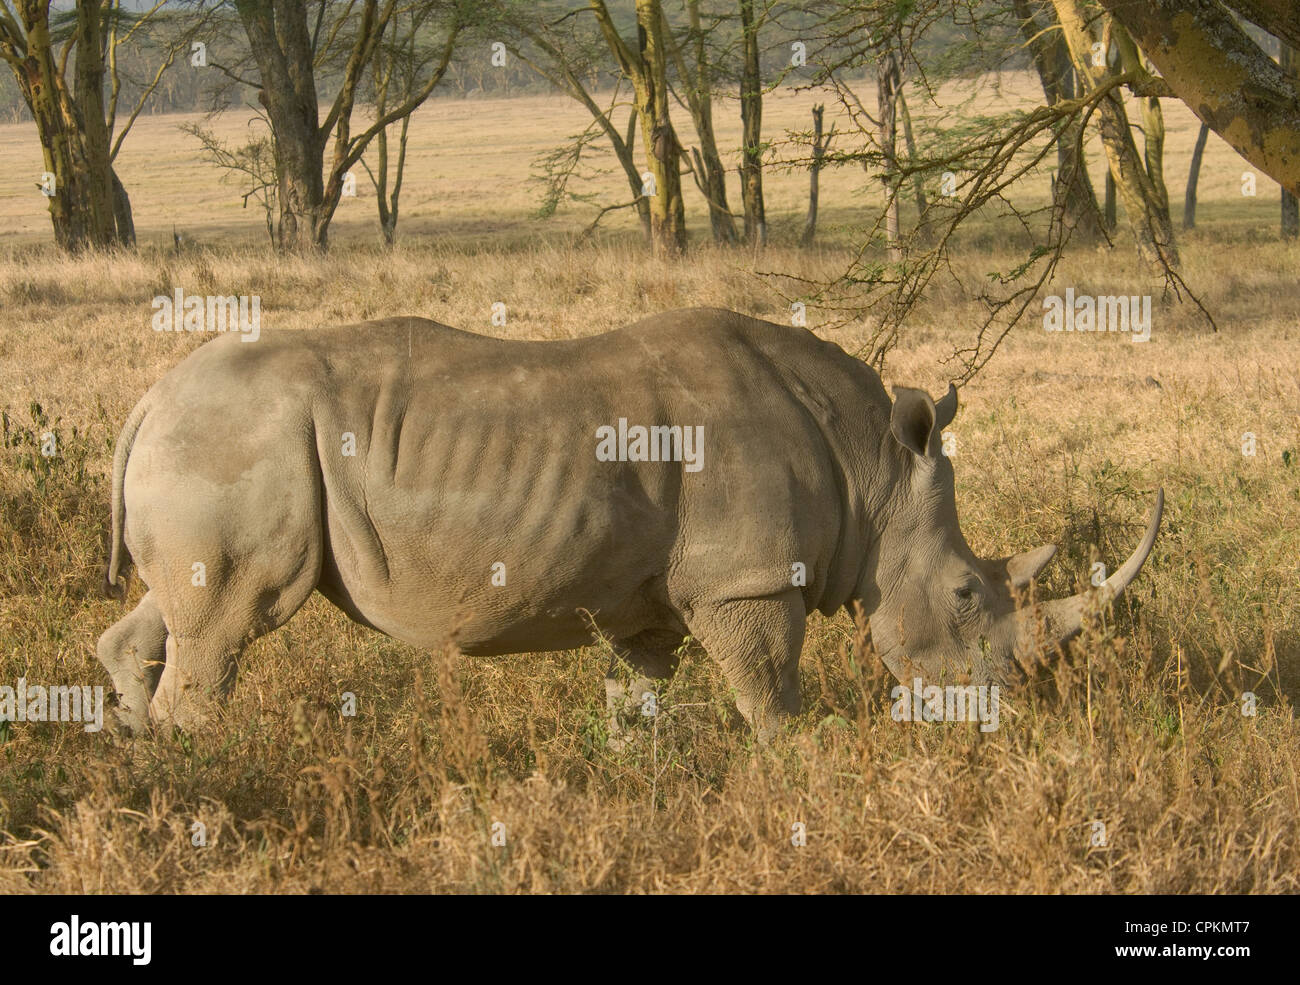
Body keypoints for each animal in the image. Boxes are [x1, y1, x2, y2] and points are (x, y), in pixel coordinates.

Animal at [96, 308, 1162, 738]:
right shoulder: (744, 579)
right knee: (233, 619)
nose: (1001, 713)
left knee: (180, 610)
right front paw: (799, 771)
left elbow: (636, 701)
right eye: (966, 592)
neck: (873, 470)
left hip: (211, 443)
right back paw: (207, 773)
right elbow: (770, 694)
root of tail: (144, 401)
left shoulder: (647, 602)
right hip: (238, 441)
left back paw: (146, 756)